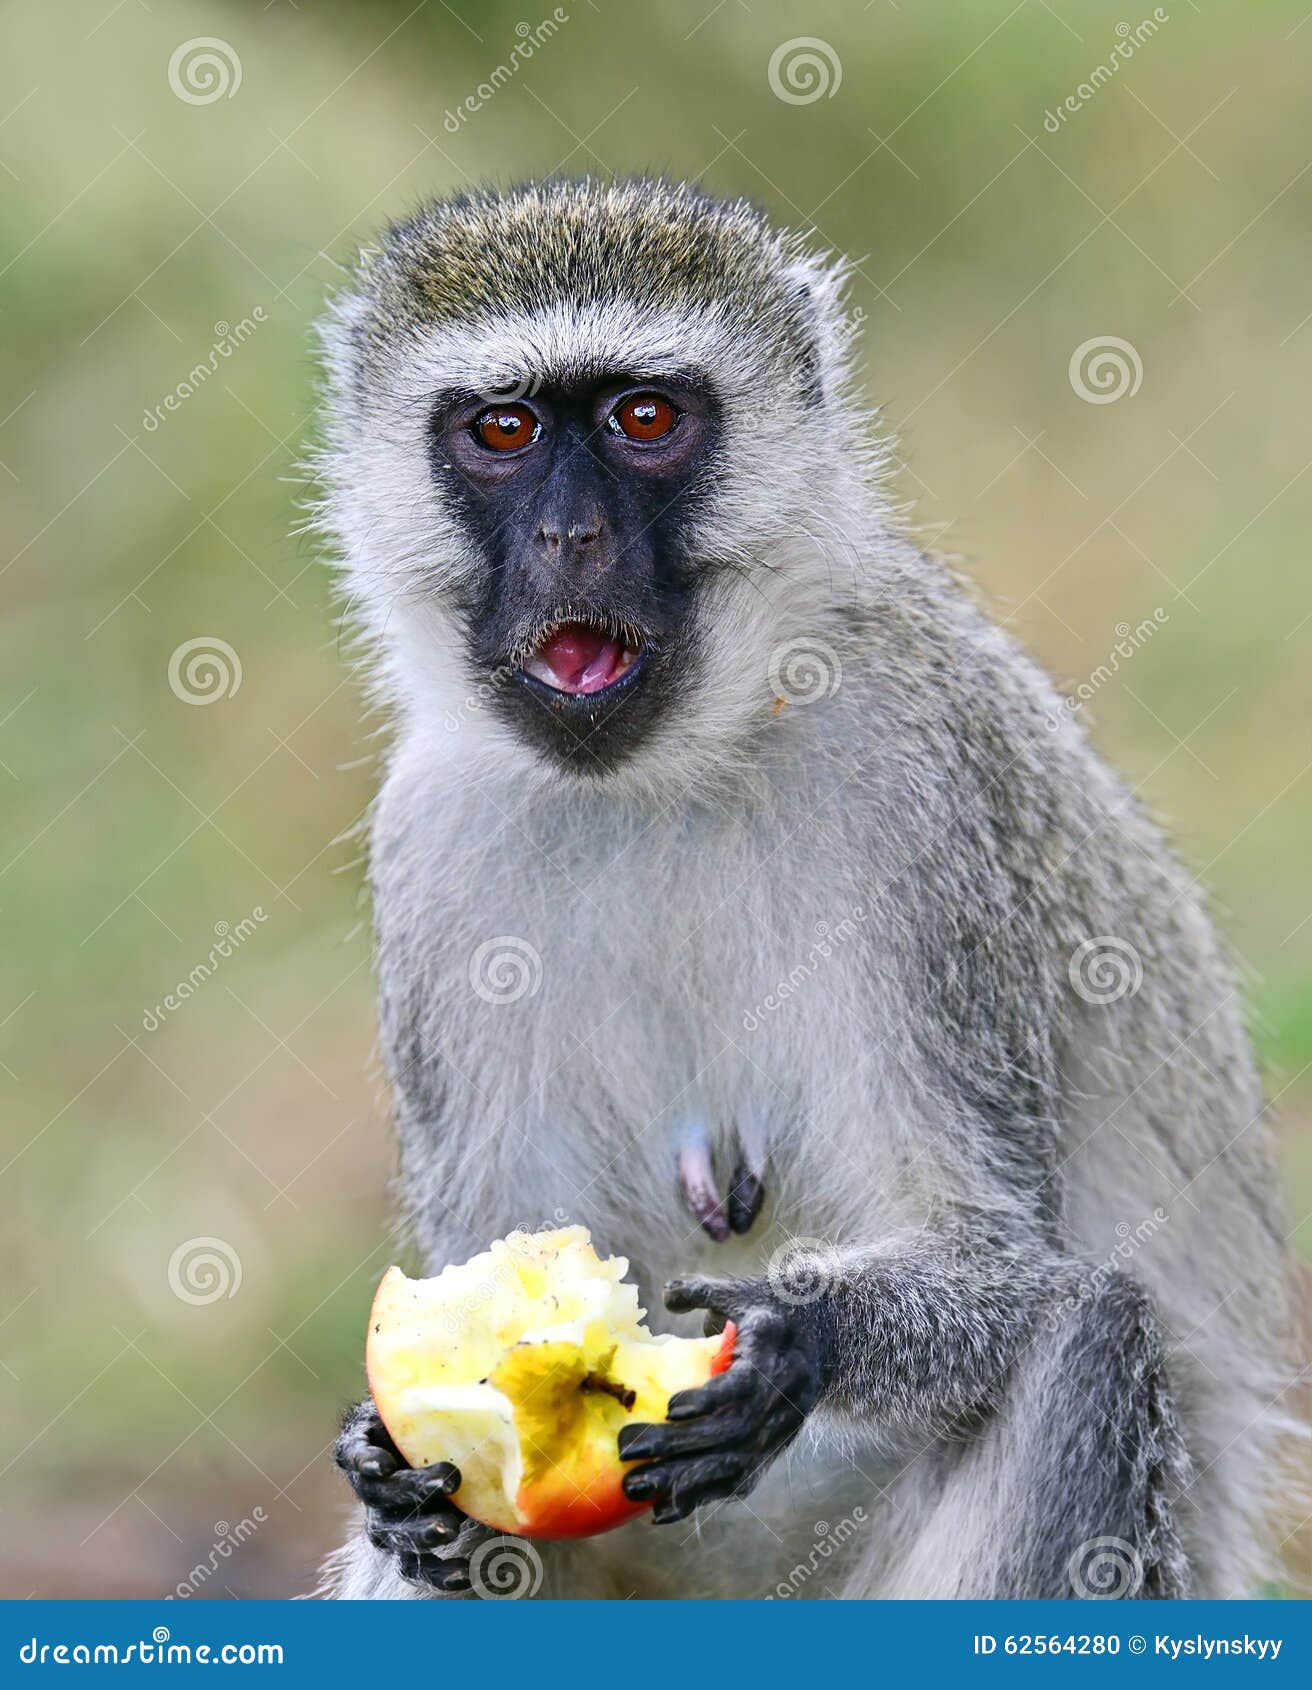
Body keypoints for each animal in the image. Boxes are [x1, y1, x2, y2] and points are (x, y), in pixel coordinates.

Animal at [312, 177, 1298, 1600]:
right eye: (502, 428)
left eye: (645, 418)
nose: (569, 534)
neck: (669, 770)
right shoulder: (432, 835)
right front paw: (387, 1461)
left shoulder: (913, 784)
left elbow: (998, 1252)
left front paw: (808, 1337)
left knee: (1091, 1339)